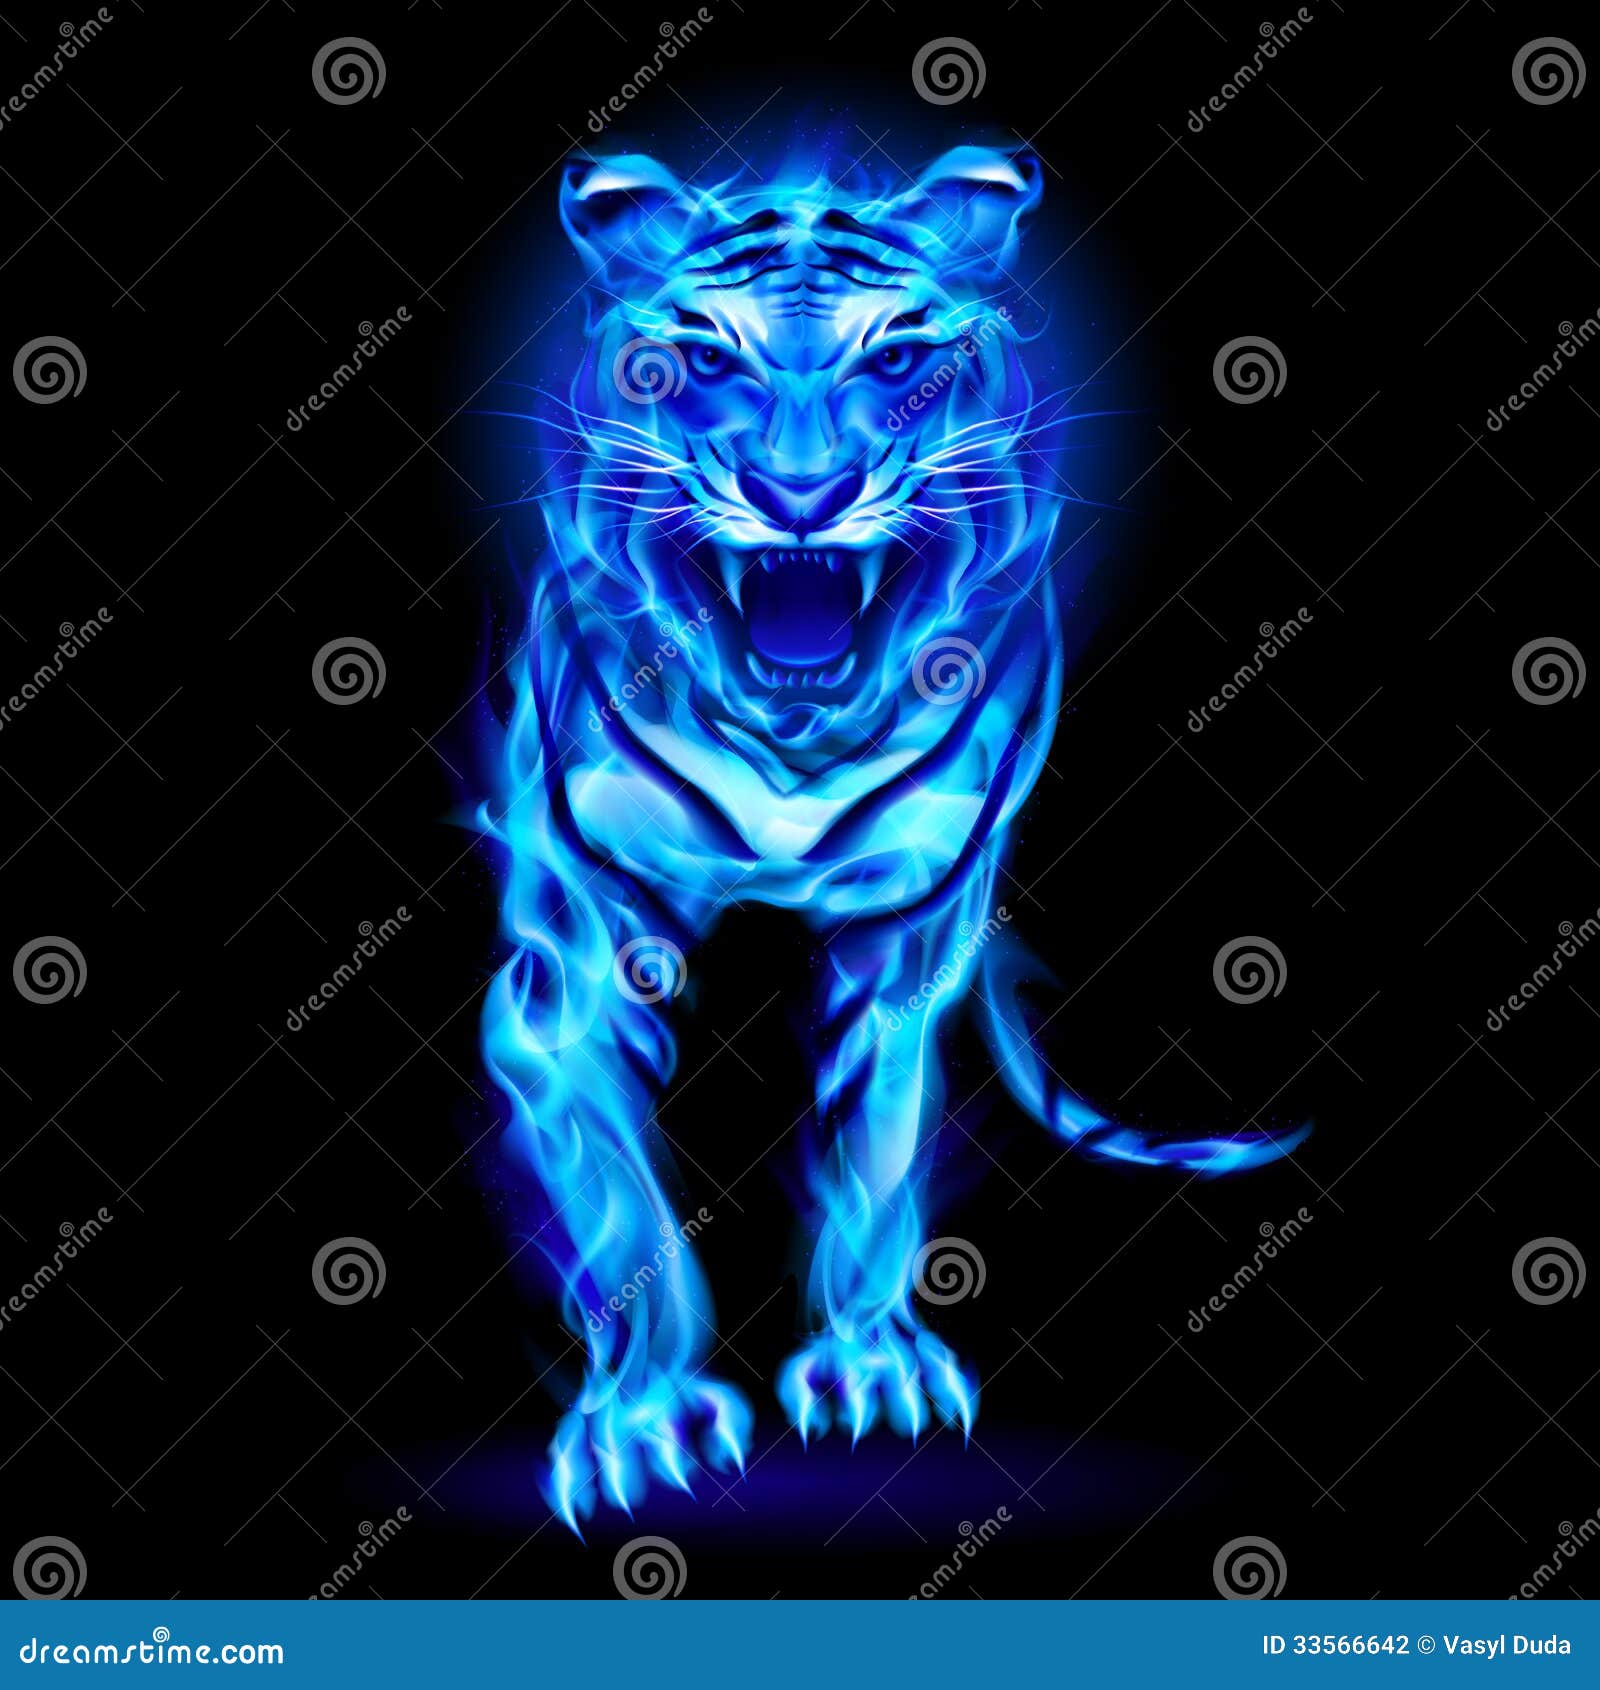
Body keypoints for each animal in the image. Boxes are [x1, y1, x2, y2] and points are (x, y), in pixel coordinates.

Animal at [477, 144, 1307, 1532]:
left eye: (899, 357)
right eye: (702, 358)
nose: (801, 497)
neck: (790, 739)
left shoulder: (907, 937)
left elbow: (874, 1149)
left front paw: (871, 1366)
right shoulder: (576, 963)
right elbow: (621, 1213)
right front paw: (644, 1423)